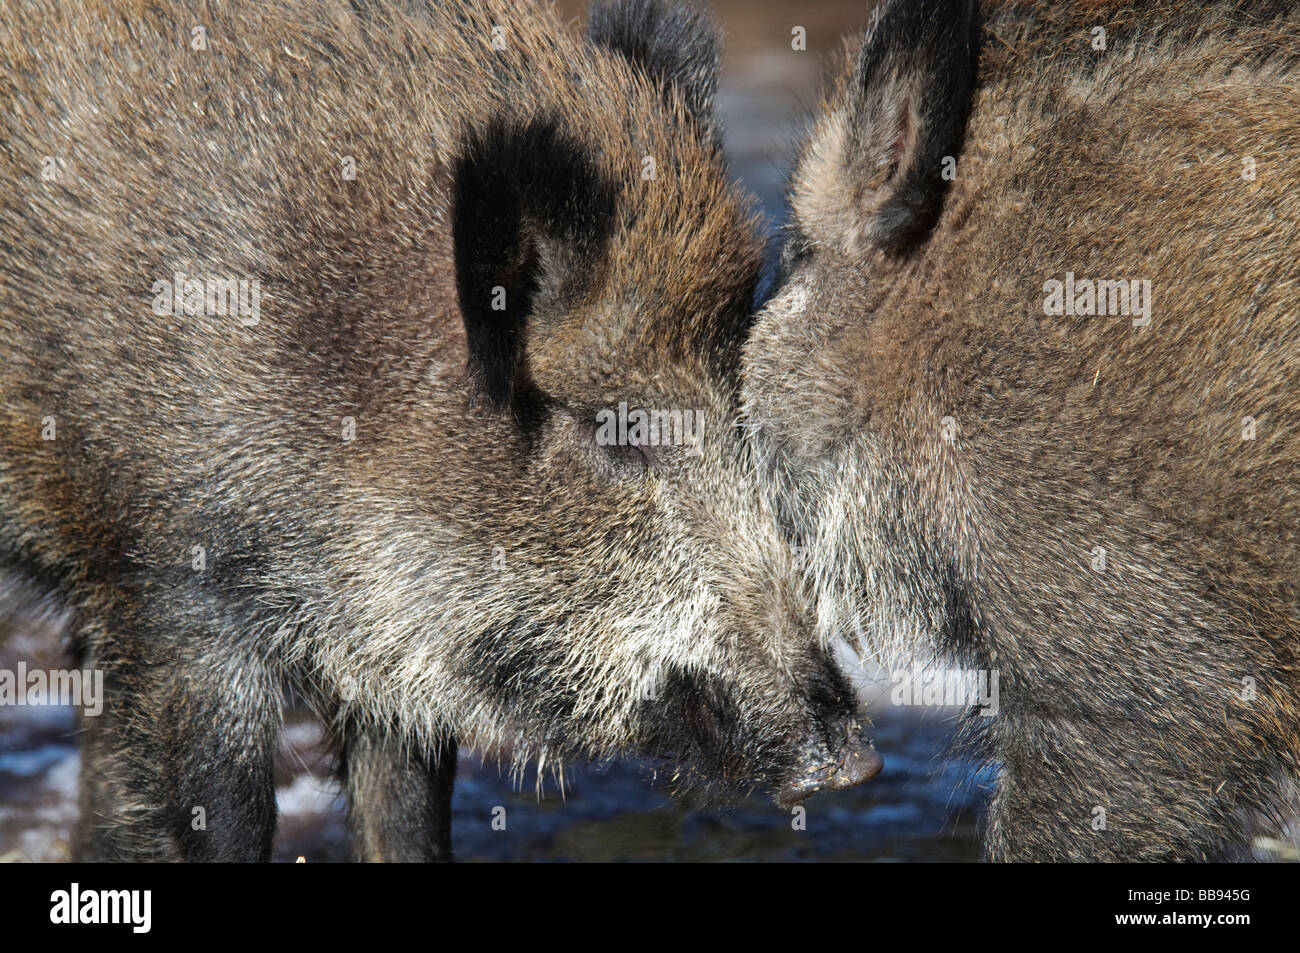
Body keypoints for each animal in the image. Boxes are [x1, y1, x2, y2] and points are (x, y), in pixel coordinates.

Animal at [0, 0, 879, 862]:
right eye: (614, 429)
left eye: (736, 400)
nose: (853, 761)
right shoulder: (172, 594)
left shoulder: (392, 652)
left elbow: (406, 819)